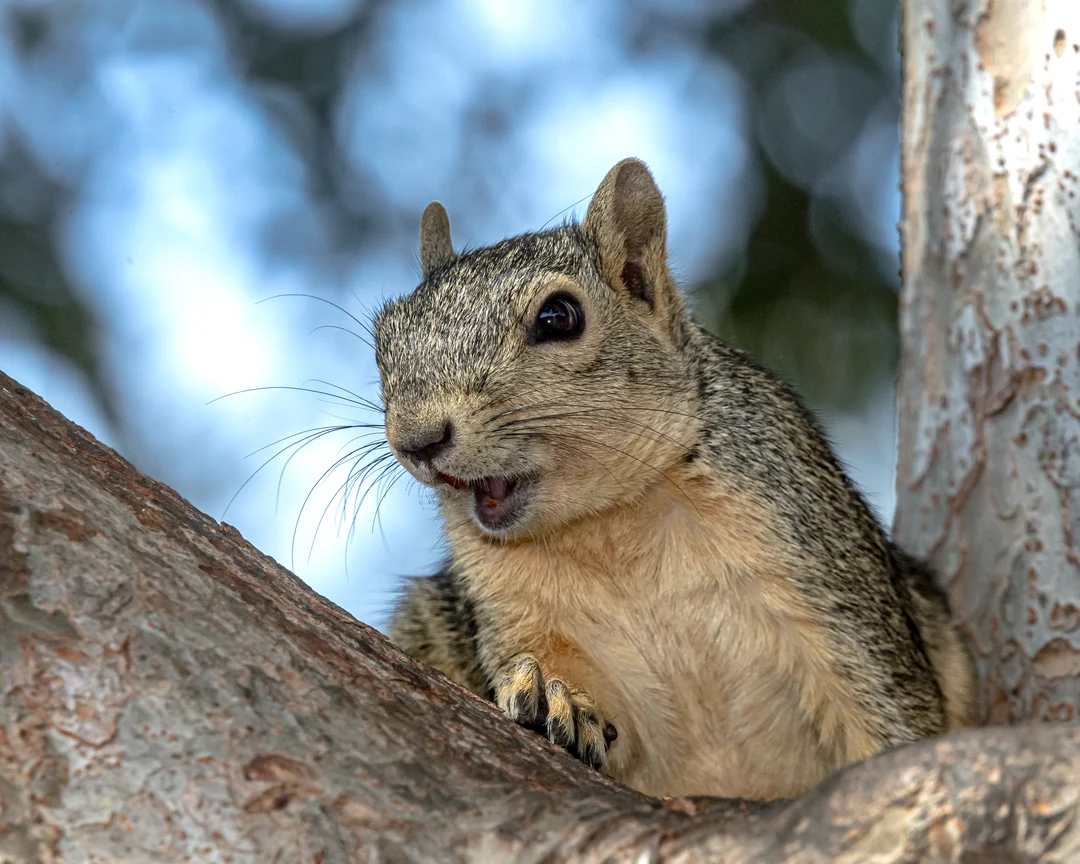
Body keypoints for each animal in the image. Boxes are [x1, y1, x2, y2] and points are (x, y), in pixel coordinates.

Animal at [374, 158, 977, 800]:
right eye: (384, 340)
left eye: (559, 317)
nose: (417, 440)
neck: (609, 524)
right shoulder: (511, 606)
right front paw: (556, 698)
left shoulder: (824, 568)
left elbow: (885, 707)